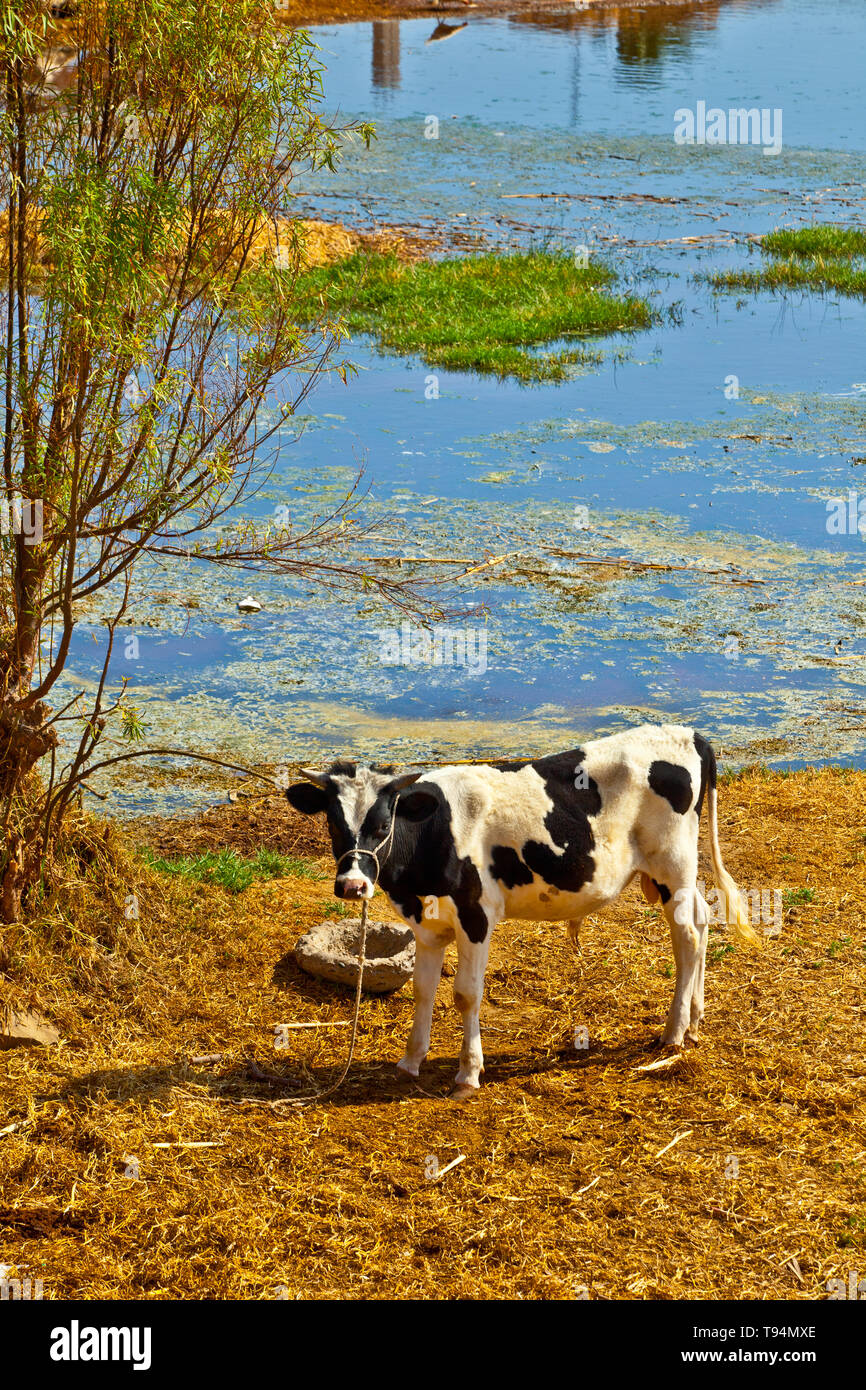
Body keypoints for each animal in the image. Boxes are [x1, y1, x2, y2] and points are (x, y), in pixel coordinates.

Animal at [286, 724, 760, 1094]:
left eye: (384, 824)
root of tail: (687, 733)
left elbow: (465, 993)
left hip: (672, 866)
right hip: (675, 876)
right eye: (333, 823)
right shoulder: (427, 924)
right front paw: (410, 1061)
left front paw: (468, 1073)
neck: (432, 835)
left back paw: (674, 1032)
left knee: (688, 937)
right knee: (701, 922)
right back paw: (694, 1021)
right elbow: (424, 988)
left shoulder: (476, 916)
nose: (352, 885)